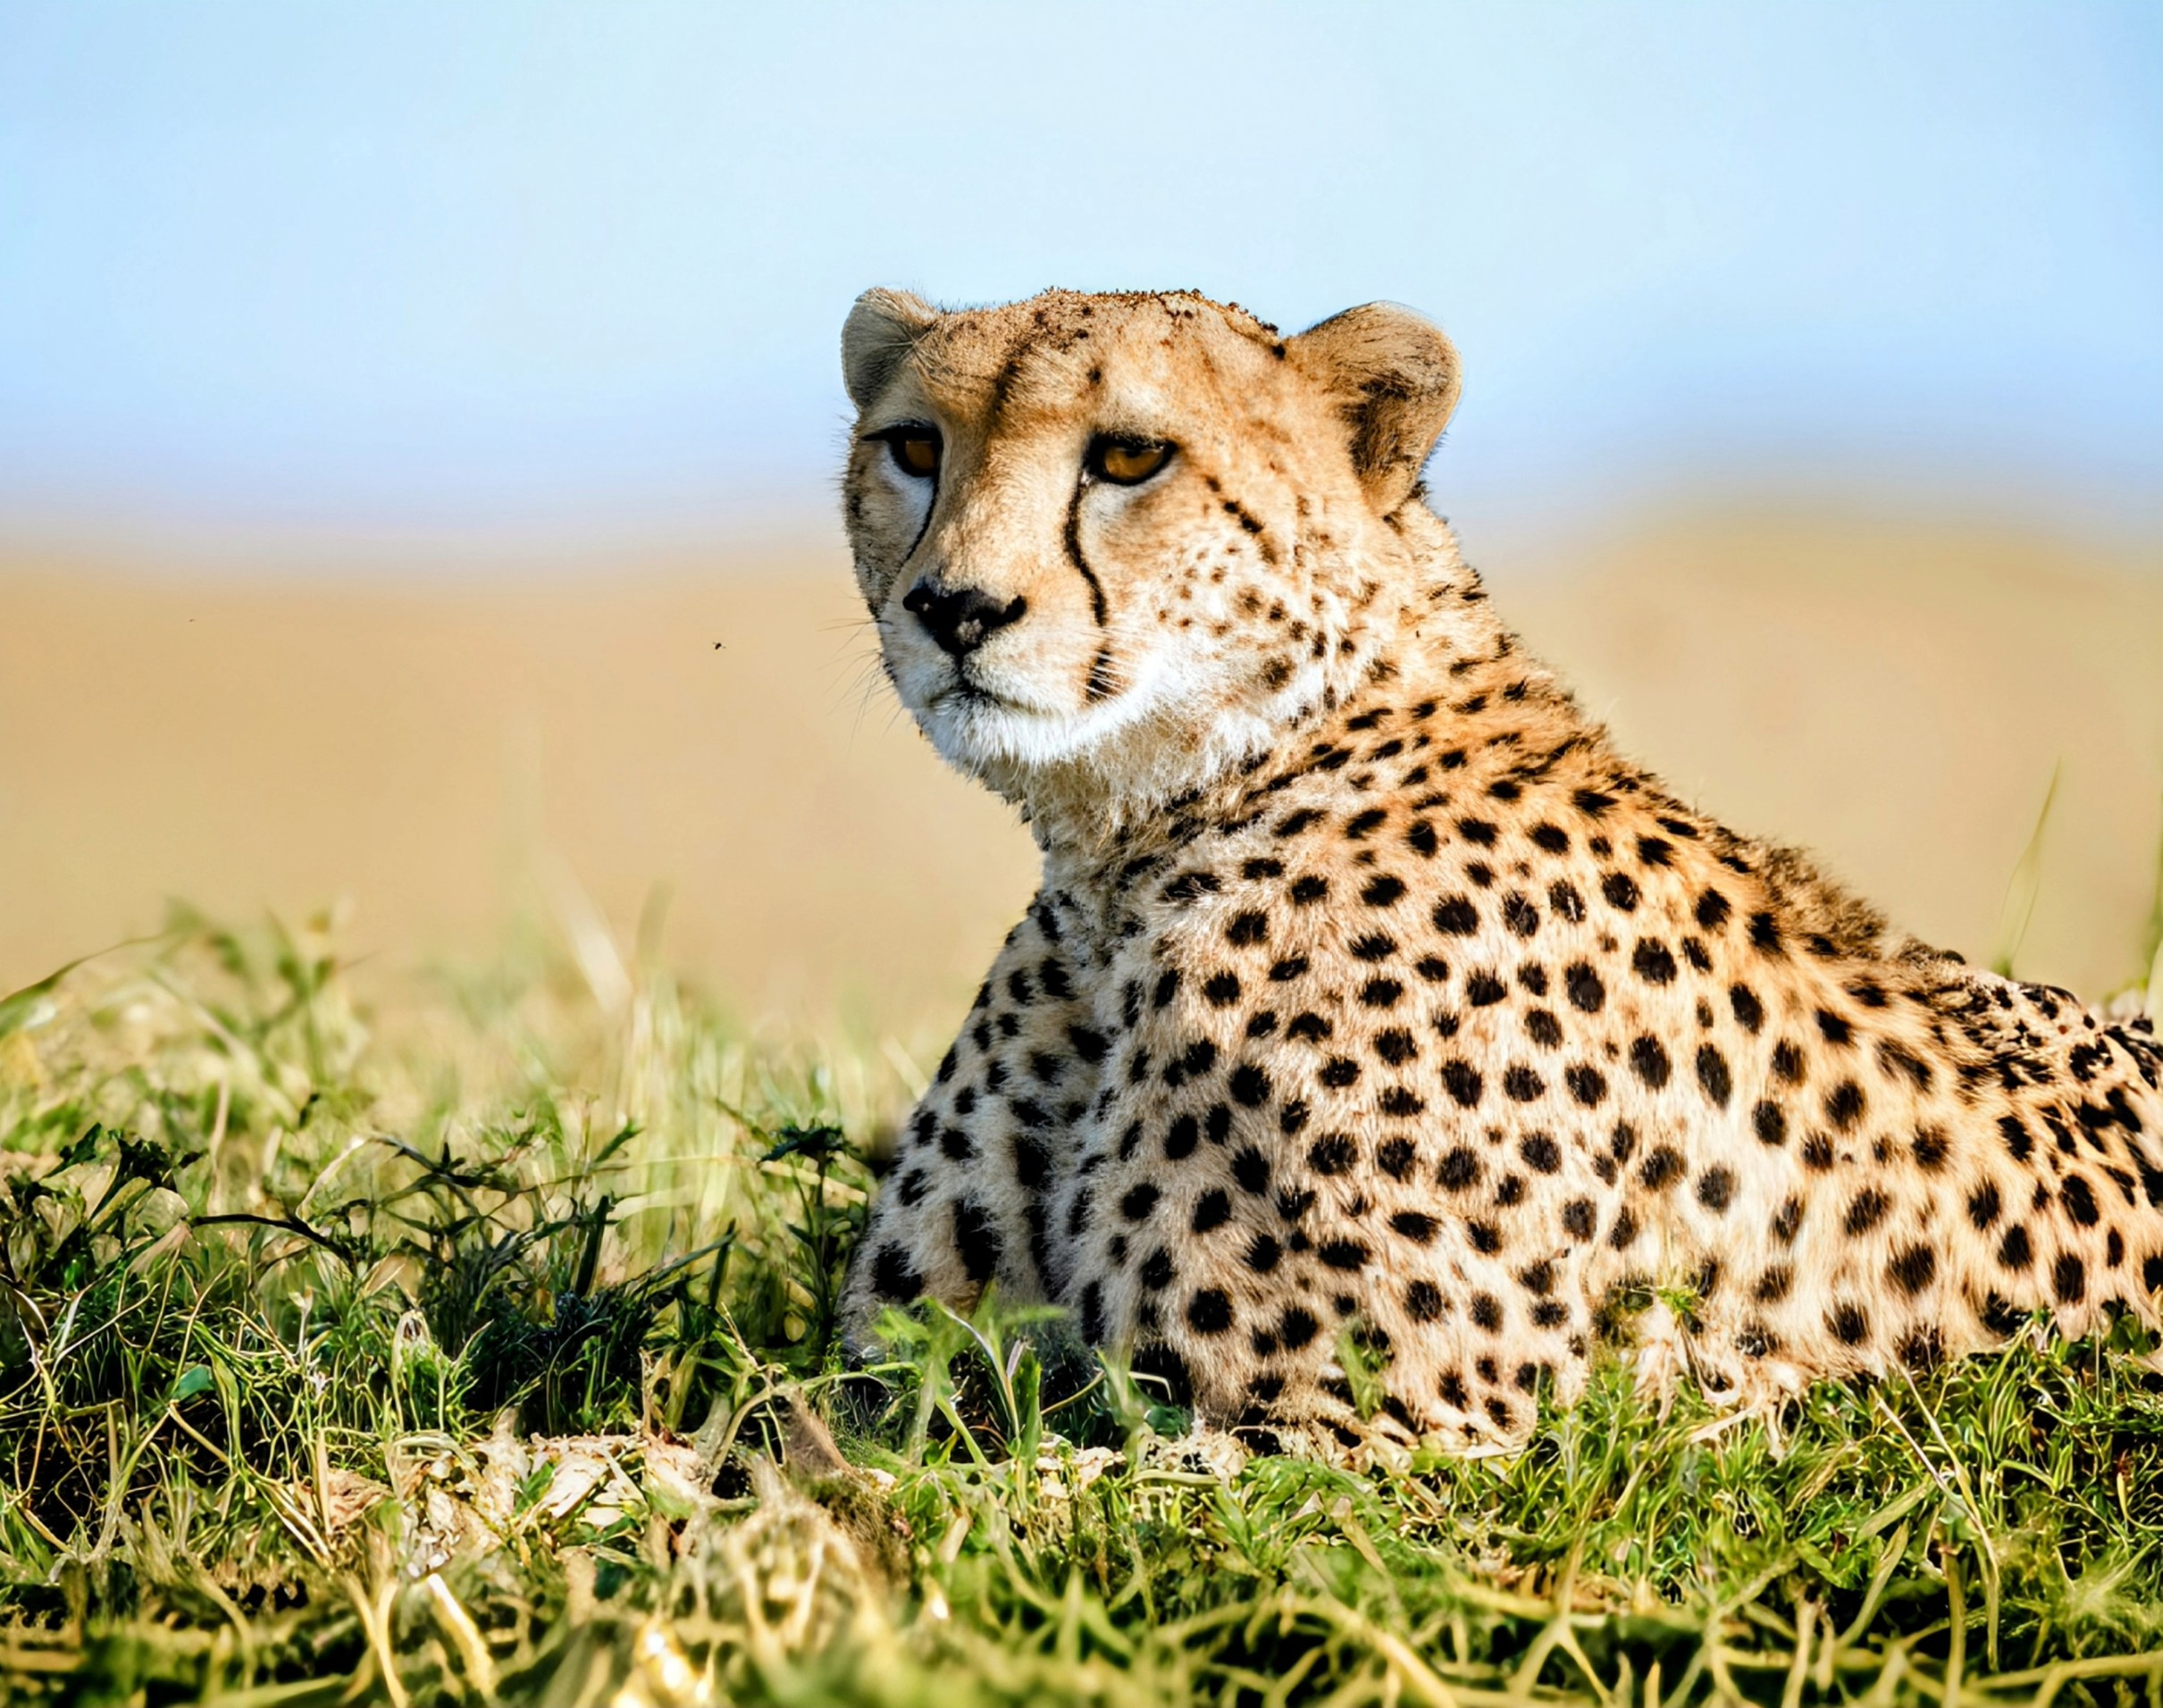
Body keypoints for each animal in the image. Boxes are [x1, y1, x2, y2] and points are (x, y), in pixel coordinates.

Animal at [832, 284, 2163, 1459]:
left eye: (1126, 457)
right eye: (914, 446)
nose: (955, 607)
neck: (1135, 852)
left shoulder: (1384, 1434)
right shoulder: (895, 1379)